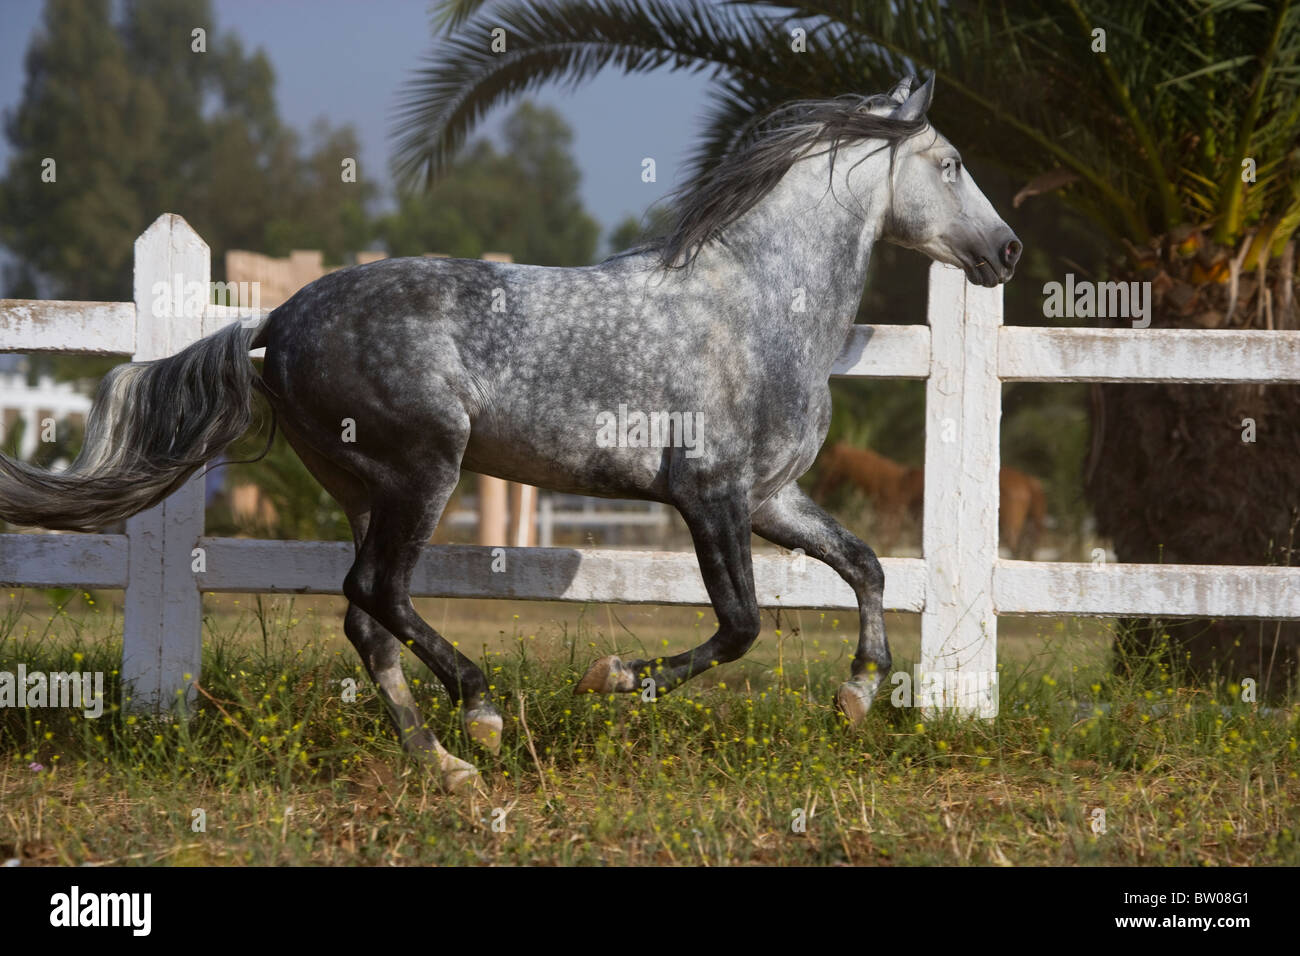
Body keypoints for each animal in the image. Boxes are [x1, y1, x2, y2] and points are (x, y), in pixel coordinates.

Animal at [0, 75, 1020, 792]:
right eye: (950, 164)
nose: (1007, 253)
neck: (754, 307)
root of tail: (276, 320)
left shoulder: (772, 498)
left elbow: (866, 565)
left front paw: (858, 693)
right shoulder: (709, 496)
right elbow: (739, 626)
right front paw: (614, 680)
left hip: (363, 488)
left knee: (364, 620)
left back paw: (442, 765)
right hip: (422, 471)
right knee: (377, 593)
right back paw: (481, 712)